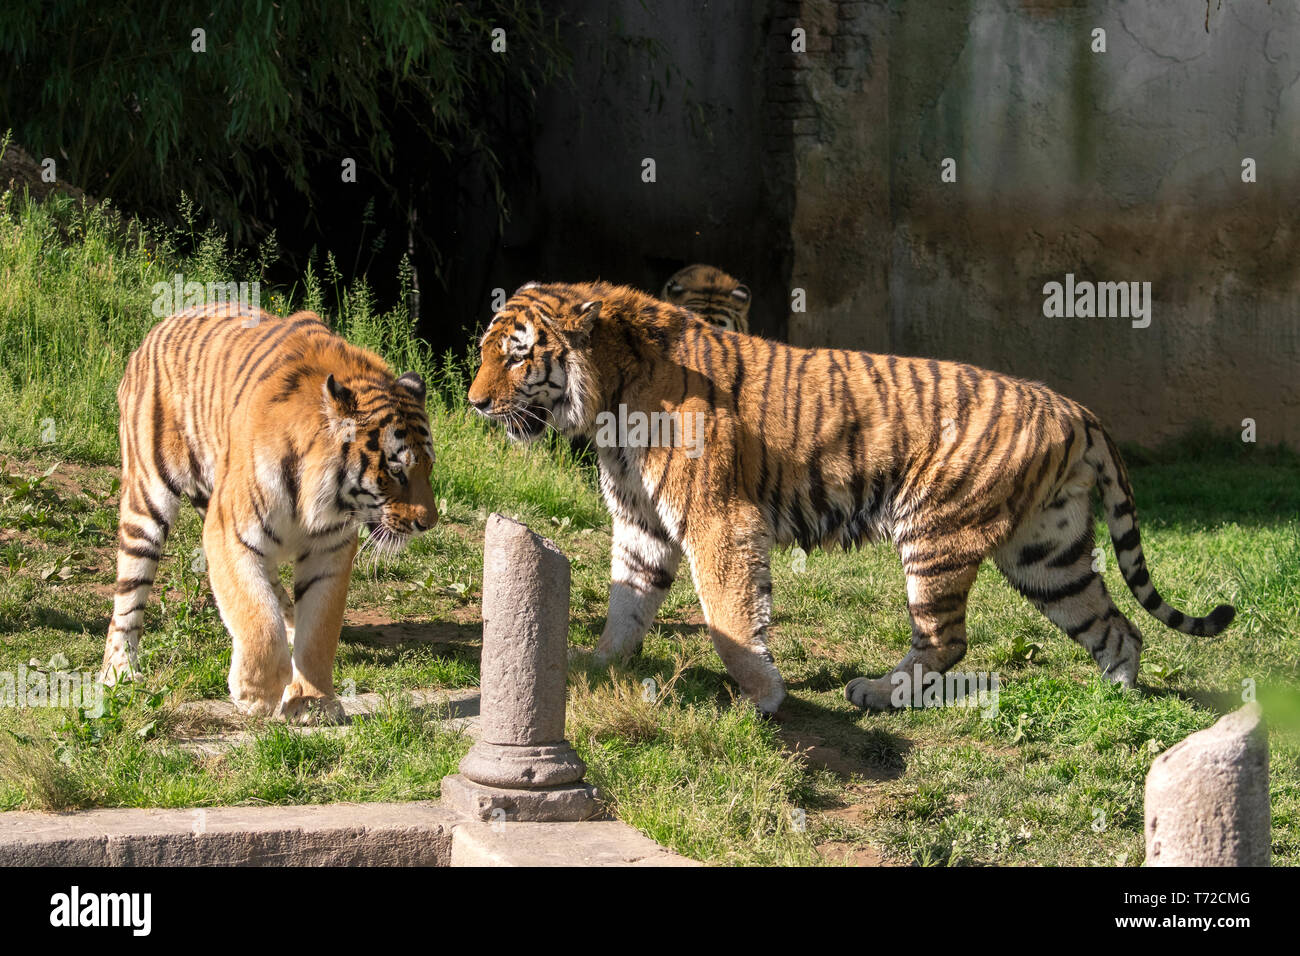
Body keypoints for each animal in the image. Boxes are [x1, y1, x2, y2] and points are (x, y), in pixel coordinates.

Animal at [100, 303, 438, 723]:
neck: (322, 499)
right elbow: (255, 616)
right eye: (396, 471)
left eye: (428, 467)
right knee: (129, 594)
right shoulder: (229, 533)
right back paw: (119, 671)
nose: (428, 523)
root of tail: (160, 326)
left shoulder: (330, 550)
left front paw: (314, 701)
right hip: (147, 499)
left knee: (275, 592)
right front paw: (256, 693)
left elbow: (319, 630)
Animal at [467, 281, 1235, 716]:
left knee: (947, 640)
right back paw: (1118, 697)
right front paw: (594, 669)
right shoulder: (641, 524)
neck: (609, 397)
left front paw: (765, 696)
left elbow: (728, 614)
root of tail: (1074, 406)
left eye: (516, 354)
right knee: (1115, 625)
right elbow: (626, 605)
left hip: (936, 531)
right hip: (1047, 552)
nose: (473, 403)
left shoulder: (719, 519)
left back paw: (875, 694)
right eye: (482, 351)